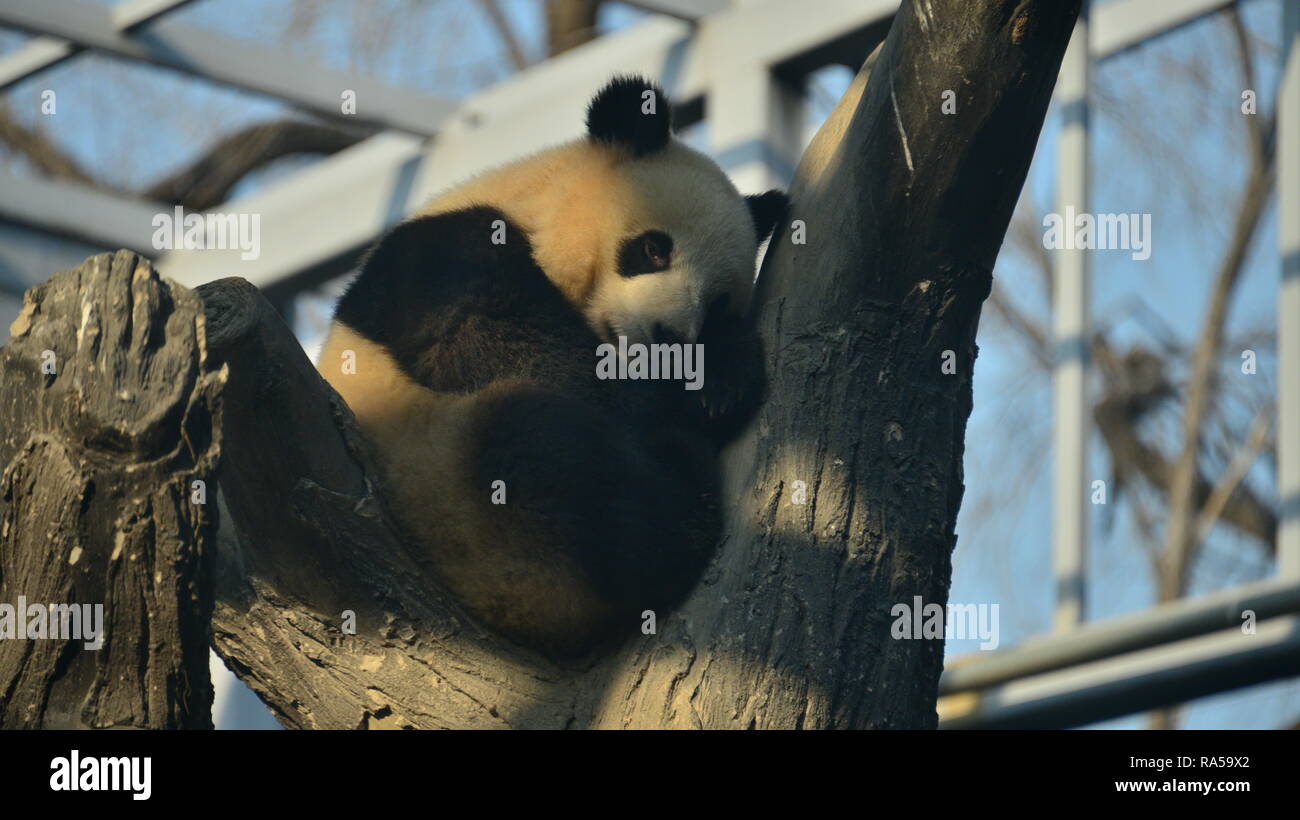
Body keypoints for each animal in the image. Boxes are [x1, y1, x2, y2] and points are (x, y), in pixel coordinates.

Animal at [317, 76, 787, 657]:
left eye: (719, 303)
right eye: (654, 249)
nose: (668, 340)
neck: (535, 198)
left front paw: (721, 375)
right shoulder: (438, 256)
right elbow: (487, 336)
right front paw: (685, 400)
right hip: (459, 493)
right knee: (542, 447)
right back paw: (685, 495)